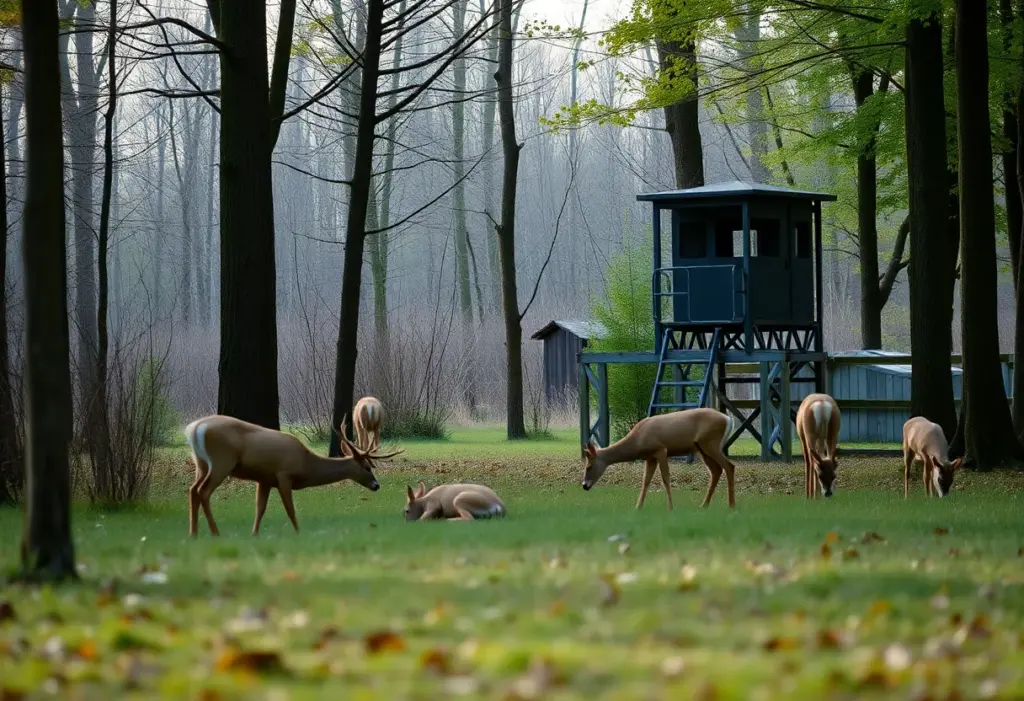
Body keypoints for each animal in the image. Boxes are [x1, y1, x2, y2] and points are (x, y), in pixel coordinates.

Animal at [183, 414, 402, 537]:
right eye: (367, 467)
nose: (376, 485)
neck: (306, 464)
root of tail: (194, 428)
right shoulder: (283, 475)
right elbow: (290, 509)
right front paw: (299, 532)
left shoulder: (264, 479)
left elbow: (260, 508)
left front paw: (254, 534)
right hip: (221, 461)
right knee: (203, 492)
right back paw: (215, 532)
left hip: (201, 464)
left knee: (193, 490)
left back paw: (193, 533)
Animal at [580, 407, 738, 510]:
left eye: (589, 467)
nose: (584, 486)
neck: (638, 442)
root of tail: (728, 419)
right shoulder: (650, 457)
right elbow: (645, 481)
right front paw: (638, 507)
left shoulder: (661, 450)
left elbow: (666, 479)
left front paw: (670, 508)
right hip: (701, 448)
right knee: (716, 470)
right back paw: (704, 505)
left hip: (711, 443)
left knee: (729, 466)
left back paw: (731, 506)